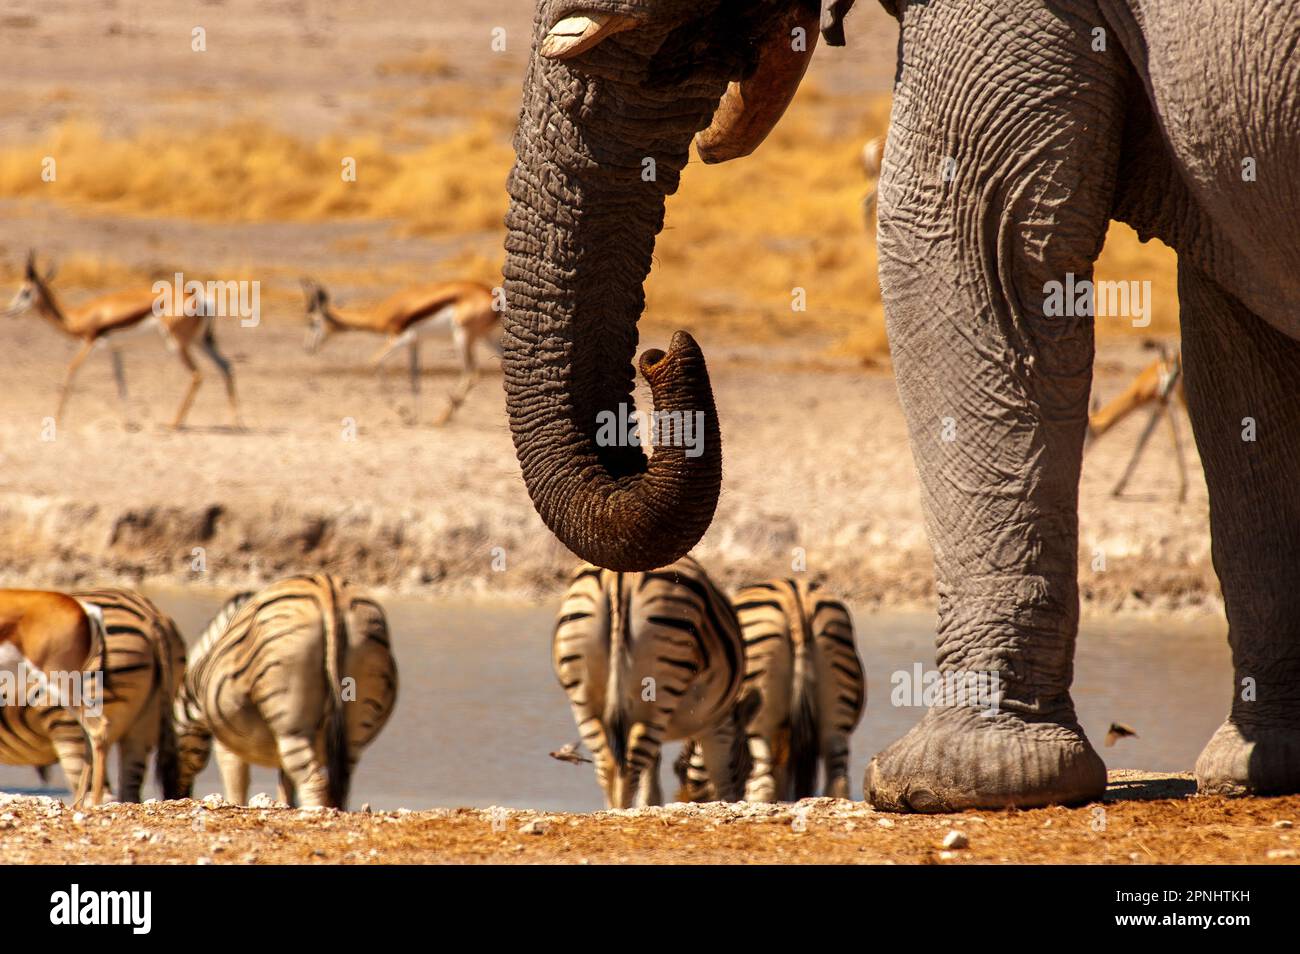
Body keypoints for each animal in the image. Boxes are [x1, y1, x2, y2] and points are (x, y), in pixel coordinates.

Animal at [174, 575, 398, 809]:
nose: (179, 794)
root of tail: (328, 590)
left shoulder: (226, 741)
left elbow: (237, 789)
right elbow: (285, 788)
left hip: (291, 727)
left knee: (315, 784)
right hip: (351, 730)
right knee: (338, 785)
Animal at [552, 557, 753, 808]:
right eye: (748, 760)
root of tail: (618, 578)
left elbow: (651, 786)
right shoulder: (719, 723)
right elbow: (723, 784)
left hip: (586, 698)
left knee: (608, 764)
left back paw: (613, 810)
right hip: (657, 693)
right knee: (628, 767)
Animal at [675, 579, 865, 802]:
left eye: (679, 770)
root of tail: (795, 597)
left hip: (757, 719)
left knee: (762, 783)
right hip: (835, 713)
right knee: (838, 779)